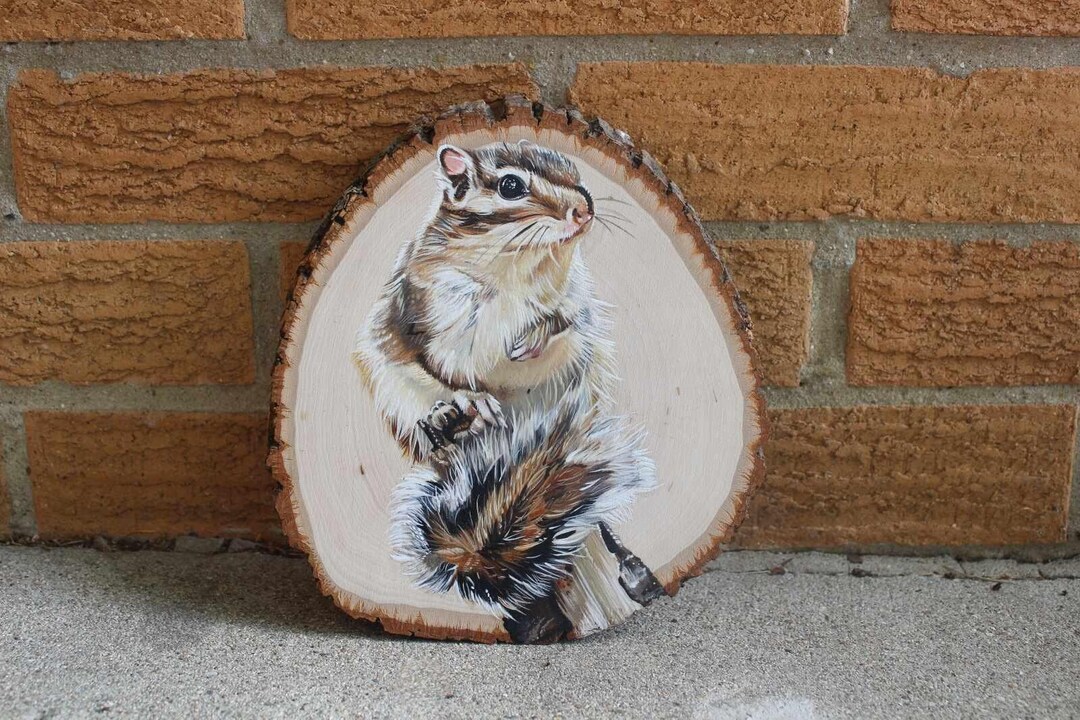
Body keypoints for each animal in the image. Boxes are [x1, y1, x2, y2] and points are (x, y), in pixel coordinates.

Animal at [354, 140, 665, 643]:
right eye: (511, 186)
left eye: (574, 169)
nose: (585, 210)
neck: (514, 266)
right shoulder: (409, 312)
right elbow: (426, 369)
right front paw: (468, 400)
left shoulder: (576, 305)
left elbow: (562, 320)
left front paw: (533, 338)